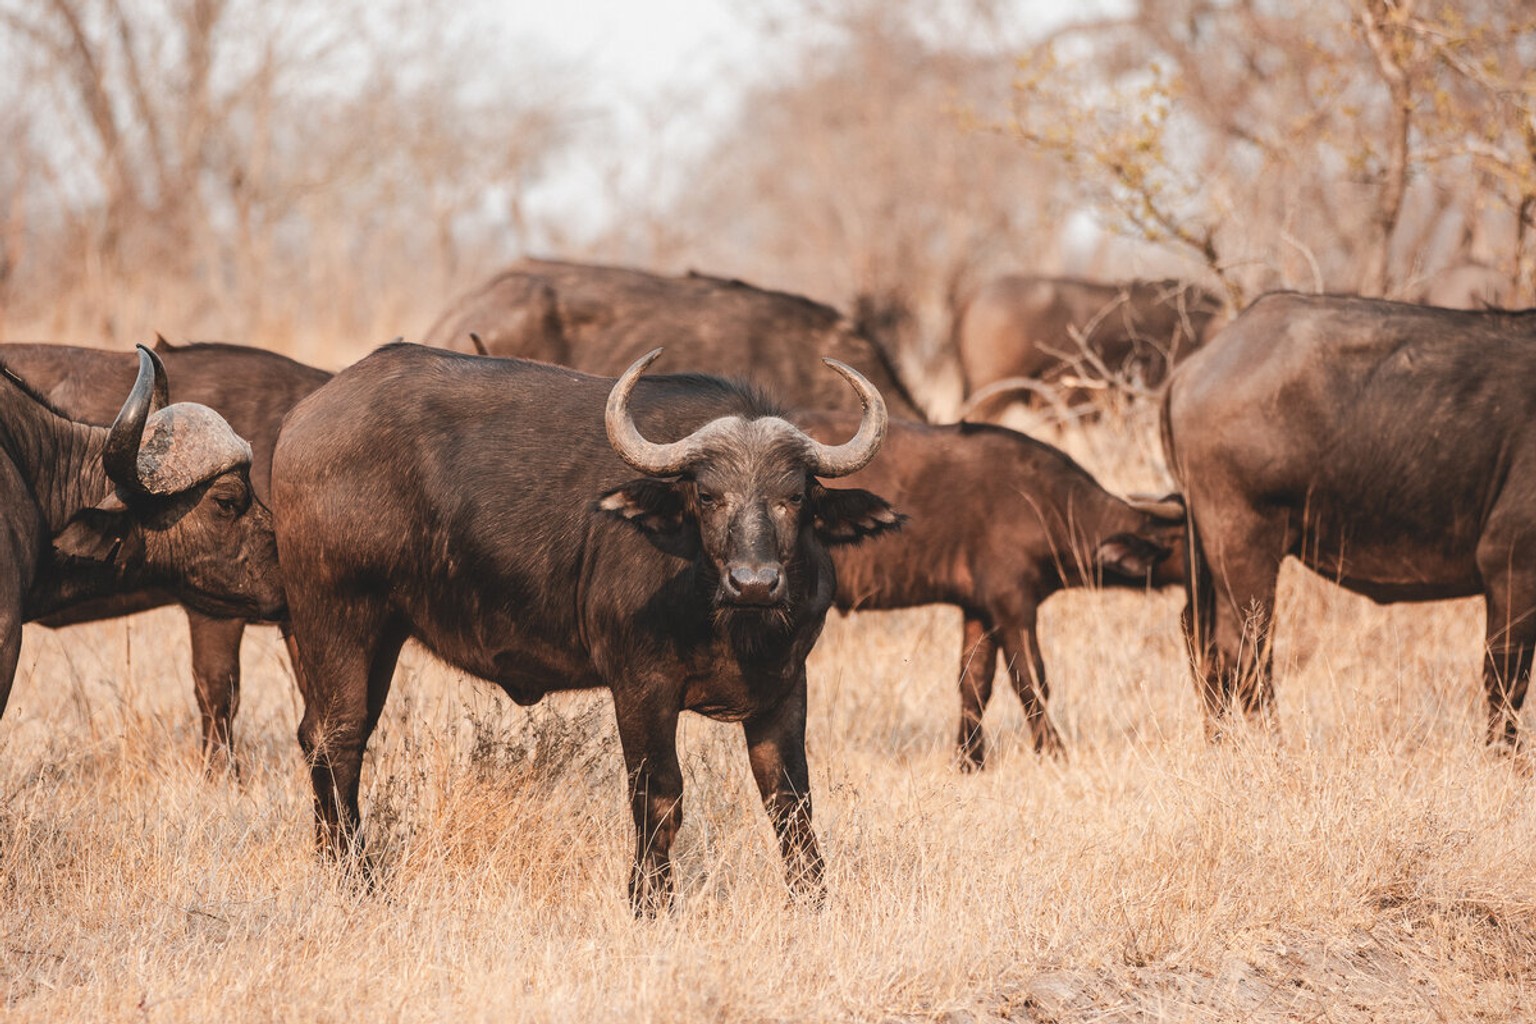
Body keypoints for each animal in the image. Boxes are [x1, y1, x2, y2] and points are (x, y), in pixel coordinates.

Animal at [270, 343, 899, 912]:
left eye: (794, 497)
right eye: (707, 495)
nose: (755, 583)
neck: (727, 619)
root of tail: (298, 424)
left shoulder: (787, 683)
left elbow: (790, 800)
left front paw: (812, 901)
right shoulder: (641, 684)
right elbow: (659, 793)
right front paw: (650, 901)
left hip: (372, 636)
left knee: (319, 736)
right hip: (339, 619)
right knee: (338, 739)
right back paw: (360, 881)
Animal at [795, 412, 1185, 768]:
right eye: (1186, 535)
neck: (1046, 502)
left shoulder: (979, 611)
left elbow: (974, 683)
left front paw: (970, 760)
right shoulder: (1014, 607)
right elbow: (1031, 680)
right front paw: (1053, 752)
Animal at [1163, 292, 1536, 746]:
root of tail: (1192, 369)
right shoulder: (1511, 565)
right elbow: (1506, 681)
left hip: (1204, 547)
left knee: (1204, 641)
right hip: (1242, 541)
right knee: (1245, 651)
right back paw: (1272, 748)